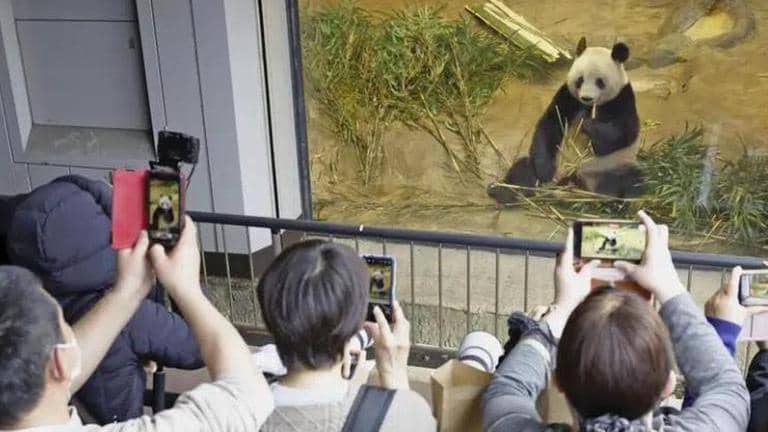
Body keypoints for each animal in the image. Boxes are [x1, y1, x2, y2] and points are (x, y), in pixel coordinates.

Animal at [488, 37, 643, 204]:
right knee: (524, 168)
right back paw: (504, 191)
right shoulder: (568, 96)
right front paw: (545, 171)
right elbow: (551, 124)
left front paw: (588, 124)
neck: (589, 106)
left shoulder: (622, 99)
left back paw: (612, 201)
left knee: (630, 178)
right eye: (580, 80)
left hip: (612, 166)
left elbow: (621, 135)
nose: (586, 98)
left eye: (600, 82)